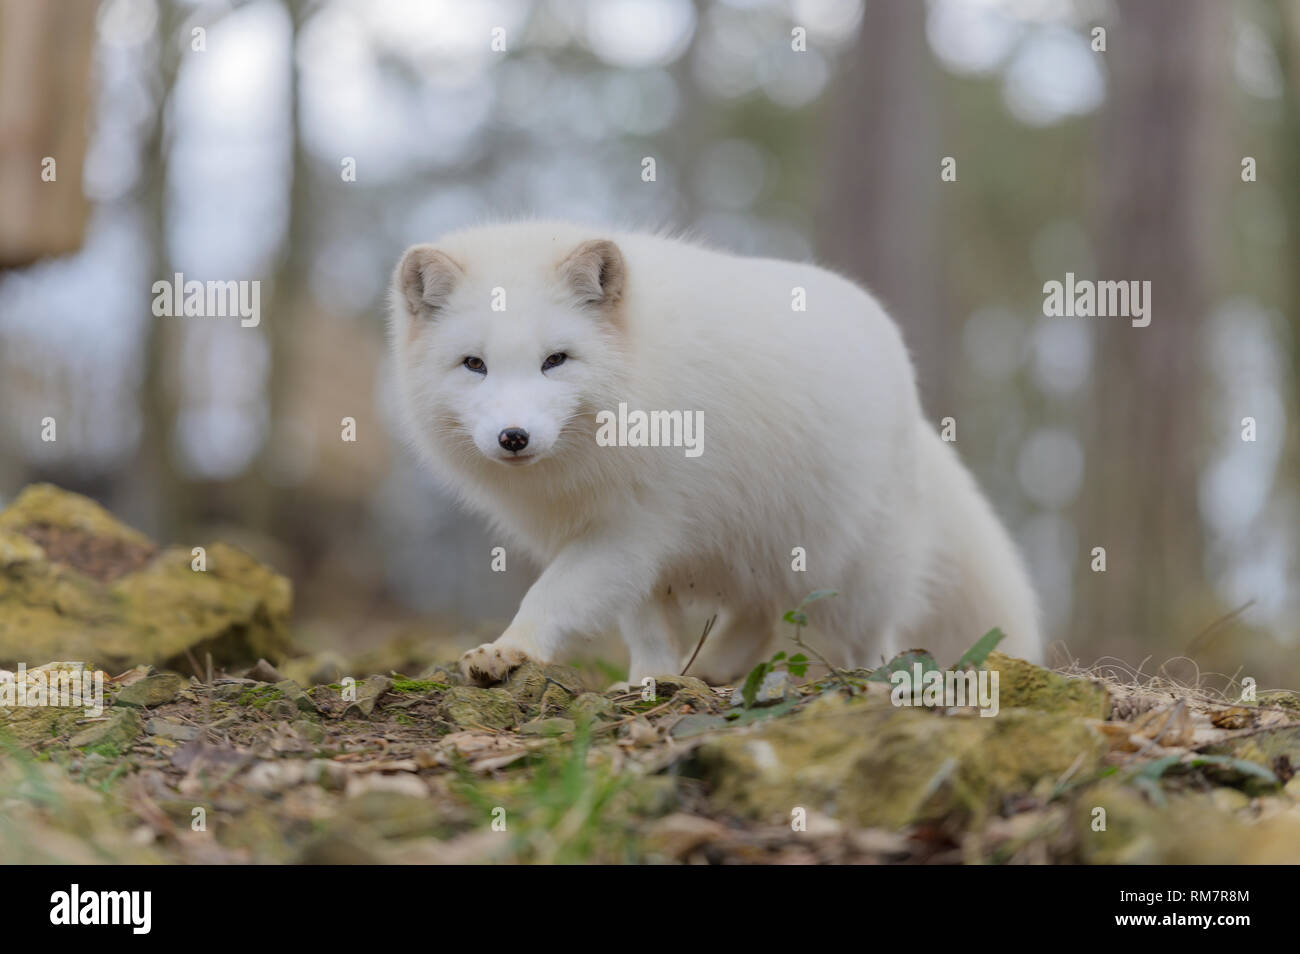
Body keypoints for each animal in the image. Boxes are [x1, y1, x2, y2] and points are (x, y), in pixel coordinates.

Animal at [387, 221, 1042, 686]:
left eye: (556, 360)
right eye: (474, 364)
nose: (514, 437)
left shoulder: (634, 526)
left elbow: (552, 596)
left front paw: (510, 649)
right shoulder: (637, 547)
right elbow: (645, 627)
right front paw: (650, 680)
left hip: (850, 566)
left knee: (873, 631)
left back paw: (873, 676)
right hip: (754, 544)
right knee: (759, 615)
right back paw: (711, 670)